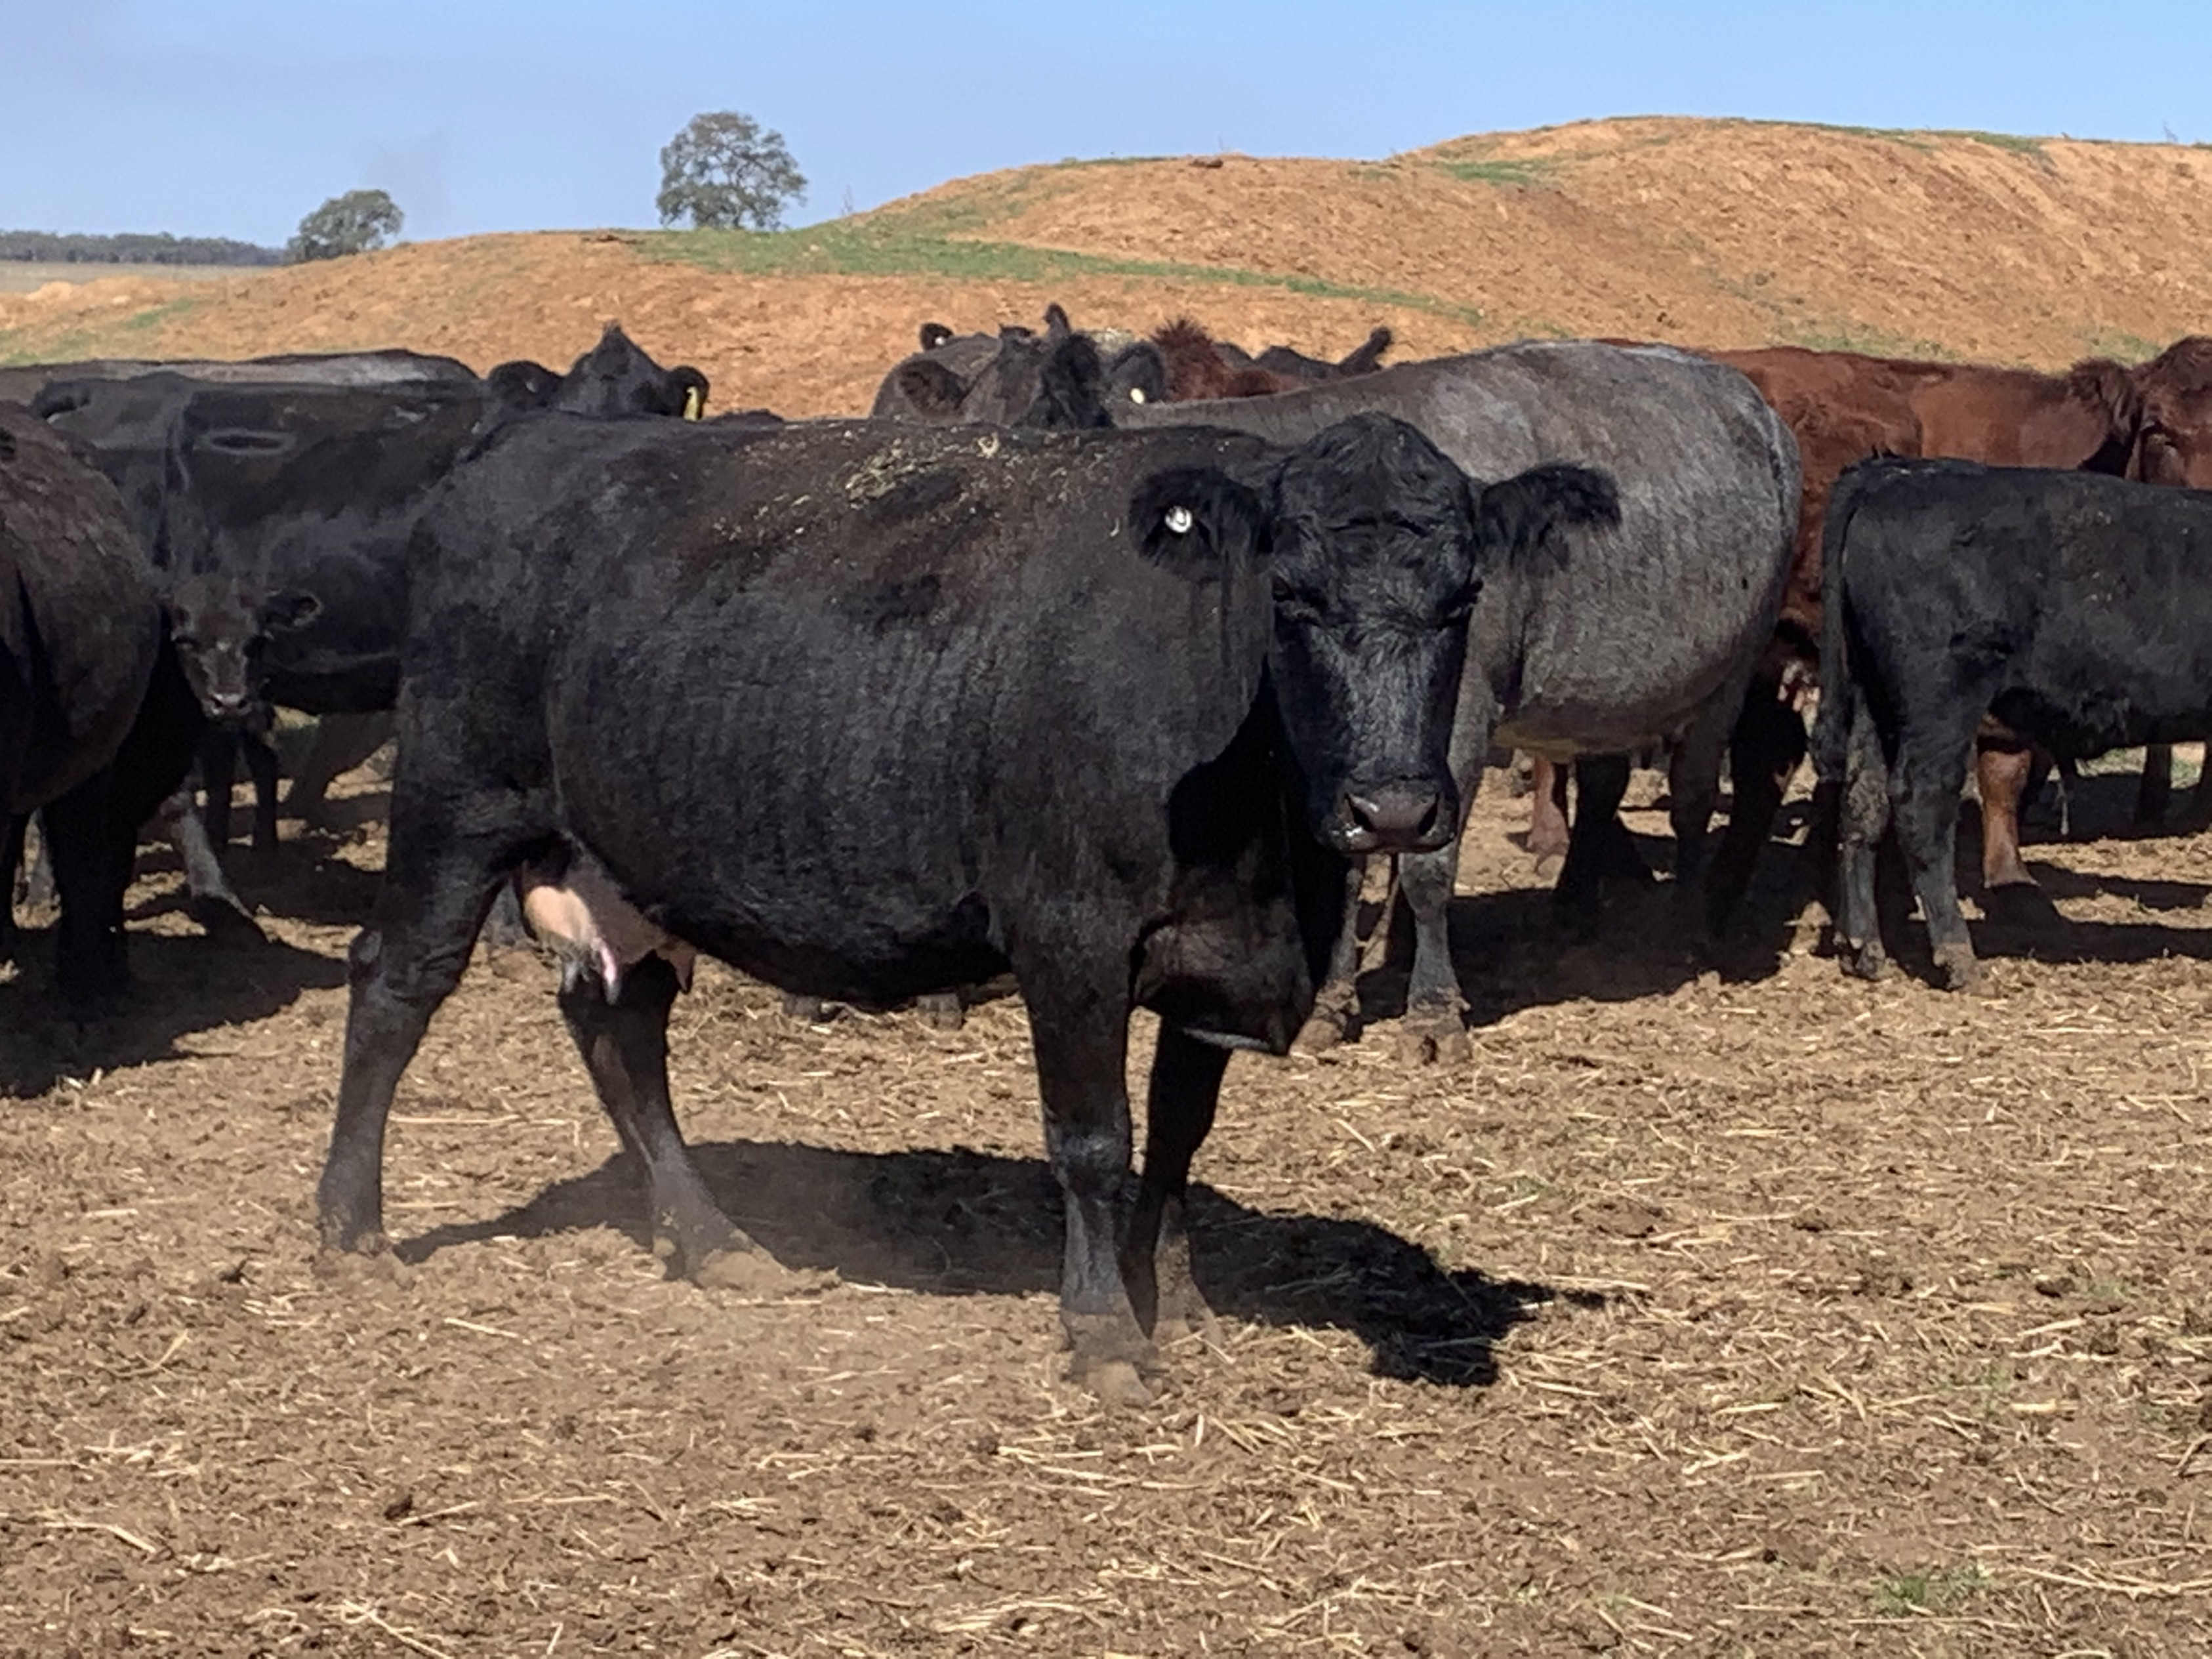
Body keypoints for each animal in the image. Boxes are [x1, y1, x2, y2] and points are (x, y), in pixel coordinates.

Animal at [314, 410, 1614, 1401]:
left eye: (1462, 598)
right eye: (1289, 595)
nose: (1392, 807)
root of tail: (532, 444)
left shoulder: (1209, 960)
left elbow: (1178, 1135)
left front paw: (1175, 1294)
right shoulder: (1070, 936)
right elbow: (1093, 1140)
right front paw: (1104, 1328)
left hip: (620, 859)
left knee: (620, 1031)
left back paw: (718, 1243)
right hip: (456, 802)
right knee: (396, 981)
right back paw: (351, 1232)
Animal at [1119, 340, 1799, 1057]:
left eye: (1460, 597)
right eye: (1291, 589)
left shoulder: (1461, 720)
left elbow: (1427, 869)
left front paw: (1434, 1010)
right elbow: (1350, 858)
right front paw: (1332, 1004)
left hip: (1730, 677)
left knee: (1694, 797)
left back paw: (1689, 931)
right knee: (1603, 788)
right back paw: (1575, 909)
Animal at [1817, 457, 2212, 989]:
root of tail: (1892, 474)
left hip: (1873, 697)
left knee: (1864, 801)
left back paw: (1862, 947)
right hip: (1943, 696)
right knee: (1921, 803)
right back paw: (1957, 957)